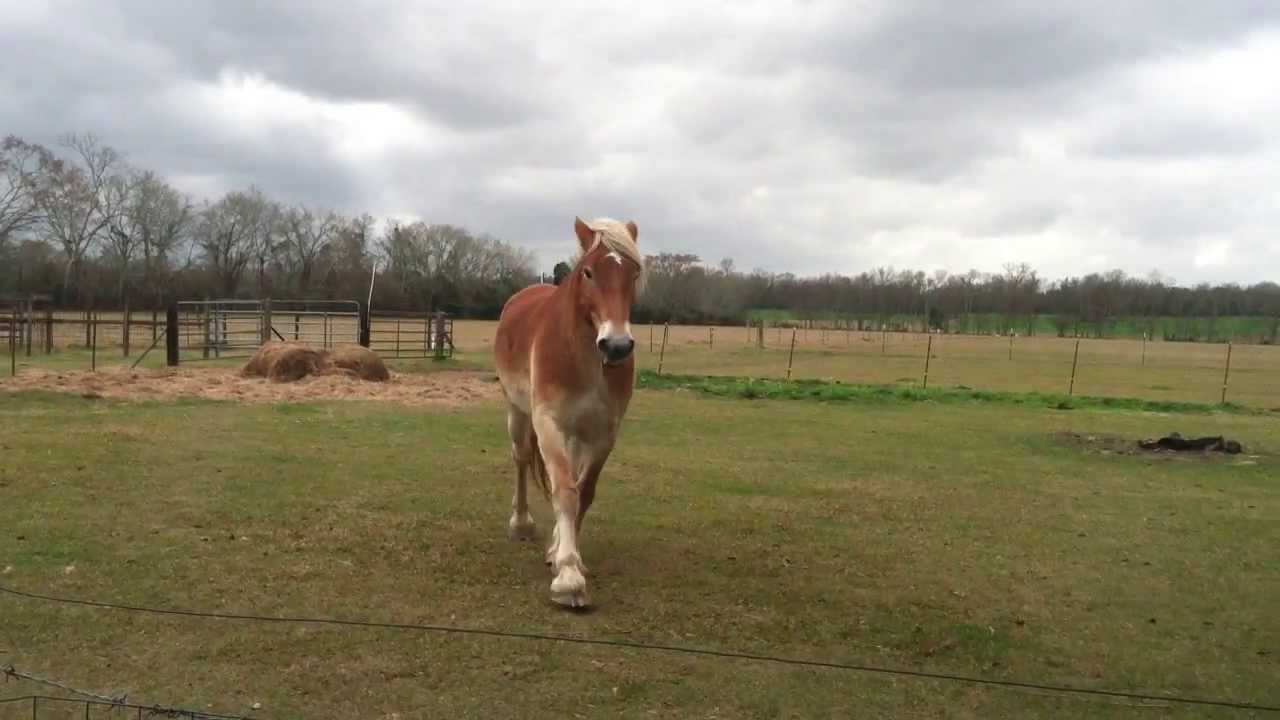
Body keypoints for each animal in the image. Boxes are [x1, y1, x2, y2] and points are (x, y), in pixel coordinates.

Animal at [493, 216, 644, 608]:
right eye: (588, 272)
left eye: (634, 273)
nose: (616, 346)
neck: (585, 356)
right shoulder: (548, 423)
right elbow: (564, 491)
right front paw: (569, 578)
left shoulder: (605, 433)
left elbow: (582, 491)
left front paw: (562, 555)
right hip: (518, 413)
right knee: (520, 459)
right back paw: (521, 524)